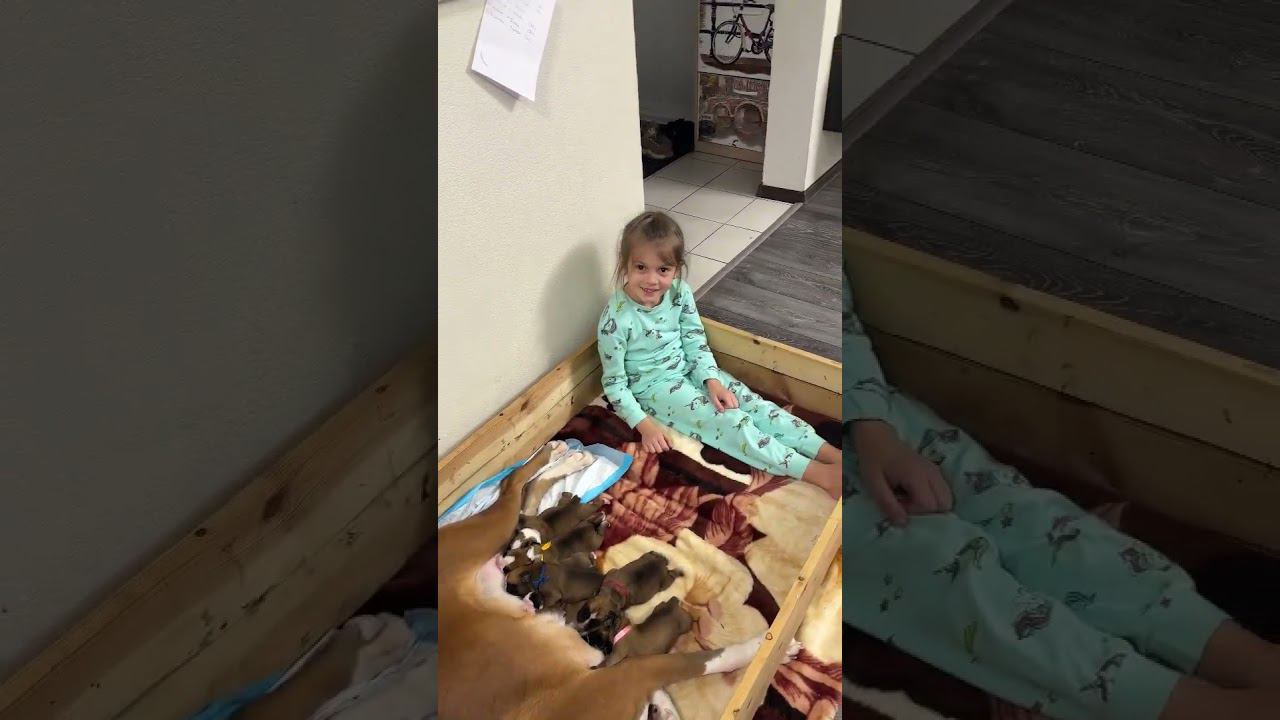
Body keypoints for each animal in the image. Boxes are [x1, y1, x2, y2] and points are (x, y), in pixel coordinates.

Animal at [439, 443, 791, 720]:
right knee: (517, 489)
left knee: (521, 491)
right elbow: (697, 660)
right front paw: (764, 647)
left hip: (495, 532)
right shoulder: (627, 675)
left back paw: (566, 456)